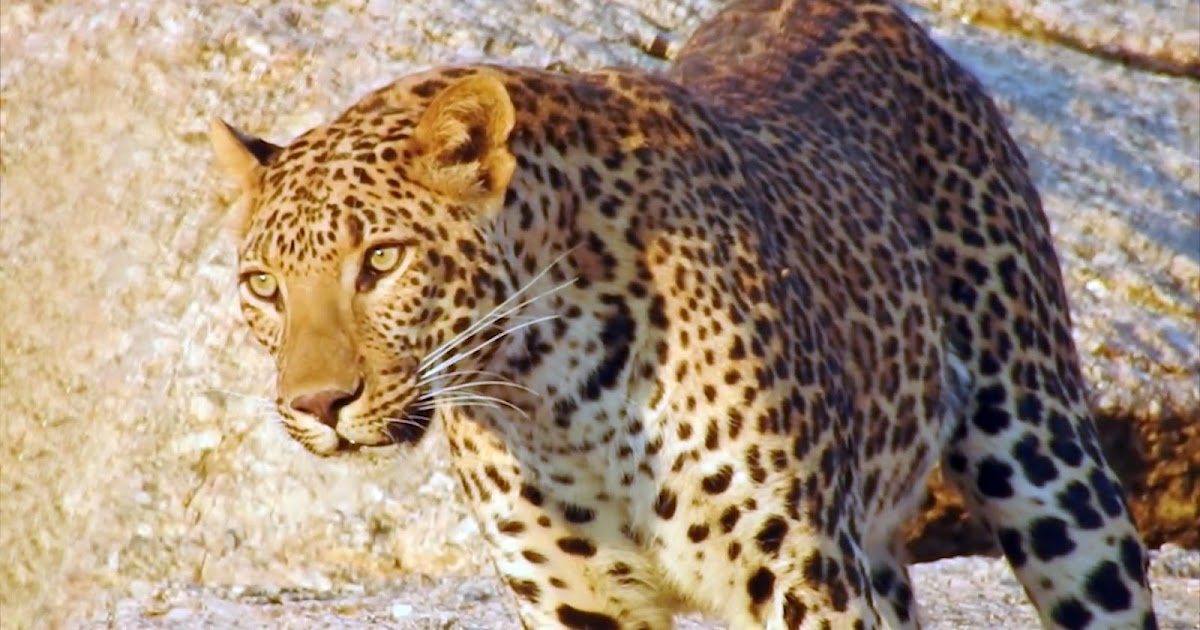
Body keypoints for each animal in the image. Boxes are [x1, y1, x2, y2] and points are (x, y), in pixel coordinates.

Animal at [209, 0, 1159, 627]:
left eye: (382, 261)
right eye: (264, 286)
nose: (316, 406)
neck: (551, 395)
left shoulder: (805, 578)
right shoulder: (575, 605)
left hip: (1051, 465)